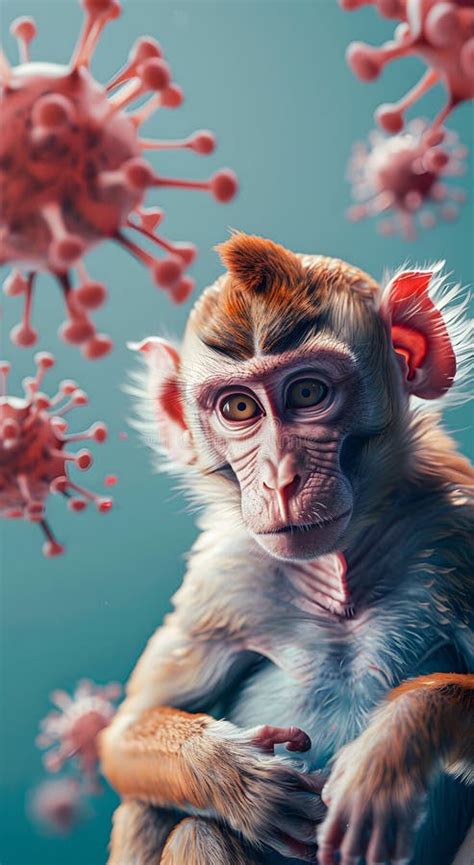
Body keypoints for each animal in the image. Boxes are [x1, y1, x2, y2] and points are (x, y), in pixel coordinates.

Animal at [100, 233, 474, 865]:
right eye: (239, 408)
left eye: (307, 392)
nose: (279, 478)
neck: (340, 575)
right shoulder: (224, 578)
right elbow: (122, 736)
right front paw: (236, 776)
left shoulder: (460, 529)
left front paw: (393, 745)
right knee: (185, 821)